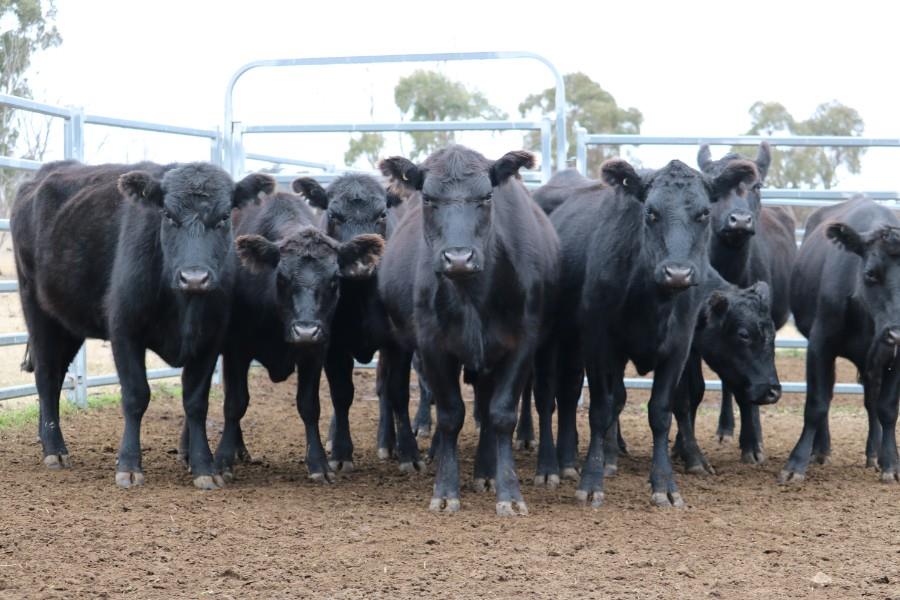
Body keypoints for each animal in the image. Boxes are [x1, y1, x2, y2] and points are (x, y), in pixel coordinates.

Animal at [11, 160, 274, 489]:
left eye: (225, 216)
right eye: (168, 215)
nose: (195, 277)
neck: (184, 305)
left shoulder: (210, 339)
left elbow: (196, 402)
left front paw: (204, 467)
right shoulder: (125, 330)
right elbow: (137, 396)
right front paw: (129, 465)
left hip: (68, 323)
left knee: (57, 376)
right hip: (37, 309)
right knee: (46, 376)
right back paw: (55, 450)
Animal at [211, 185, 384, 482]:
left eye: (334, 279)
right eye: (281, 278)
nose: (305, 330)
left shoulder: (315, 351)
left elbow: (309, 406)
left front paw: (318, 464)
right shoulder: (236, 349)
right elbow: (235, 403)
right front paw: (222, 461)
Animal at [378, 145, 559, 515]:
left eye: (486, 196)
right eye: (428, 198)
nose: (459, 258)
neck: (471, 294)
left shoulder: (521, 344)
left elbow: (501, 414)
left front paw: (509, 492)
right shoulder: (432, 345)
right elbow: (450, 414)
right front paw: (446, 490)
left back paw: (490, 472)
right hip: (400, 343)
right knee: (398, 392)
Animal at [534, 157, 763, 507]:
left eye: (704, 213)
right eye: (651, 212)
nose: (678, 273)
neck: (653, 298)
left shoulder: (679, 348)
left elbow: (661, 411)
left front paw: (664, 484)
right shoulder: (600, 345)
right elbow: (602, 409)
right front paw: (593, 480)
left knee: (569, 392)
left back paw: (568, 461)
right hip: (552, 340)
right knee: (548, 397)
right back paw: (550, 467)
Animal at [780, 197, 900, 484]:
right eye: (870, 273)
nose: (897, 333)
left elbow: (888, 409)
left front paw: (891, 463)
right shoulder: (819, 345)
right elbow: (817, 403)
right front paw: (796, 463)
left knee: (871, 401)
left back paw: (874, 453)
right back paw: (820, 450)